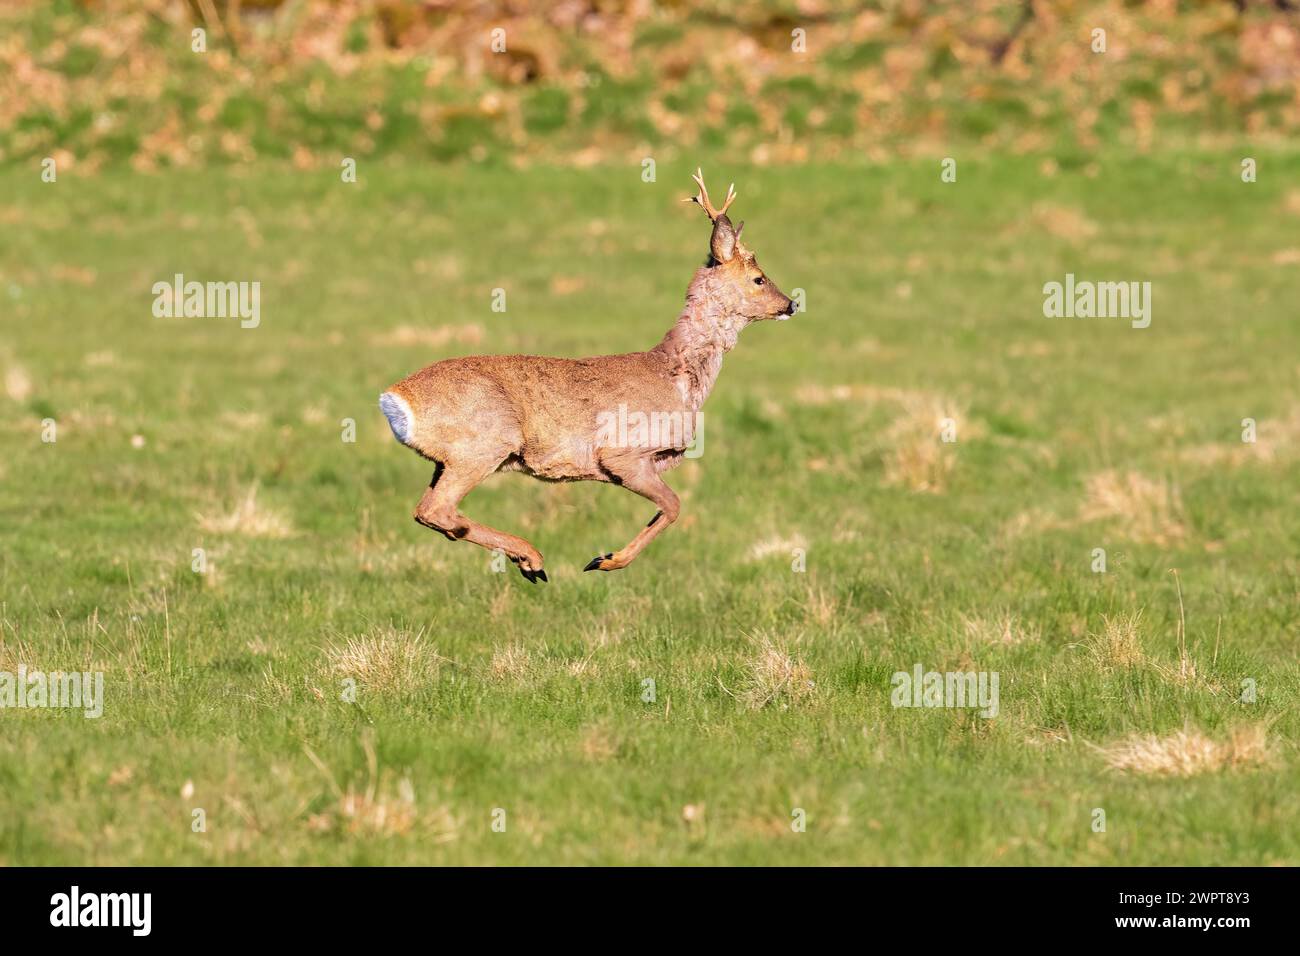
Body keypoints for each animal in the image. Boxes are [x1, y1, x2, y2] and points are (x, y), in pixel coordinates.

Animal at [378, 169, 796, 582]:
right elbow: (674, 505)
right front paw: (604, 560)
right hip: (483, 444)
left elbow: (666, 508)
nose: (791, 303)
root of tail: (394, 397)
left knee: (426, 509)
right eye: (759, 278)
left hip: (448, 459)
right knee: (436, 508)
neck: (676, 378)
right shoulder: (622, 453)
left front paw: (604, 557)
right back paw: (530, 558)